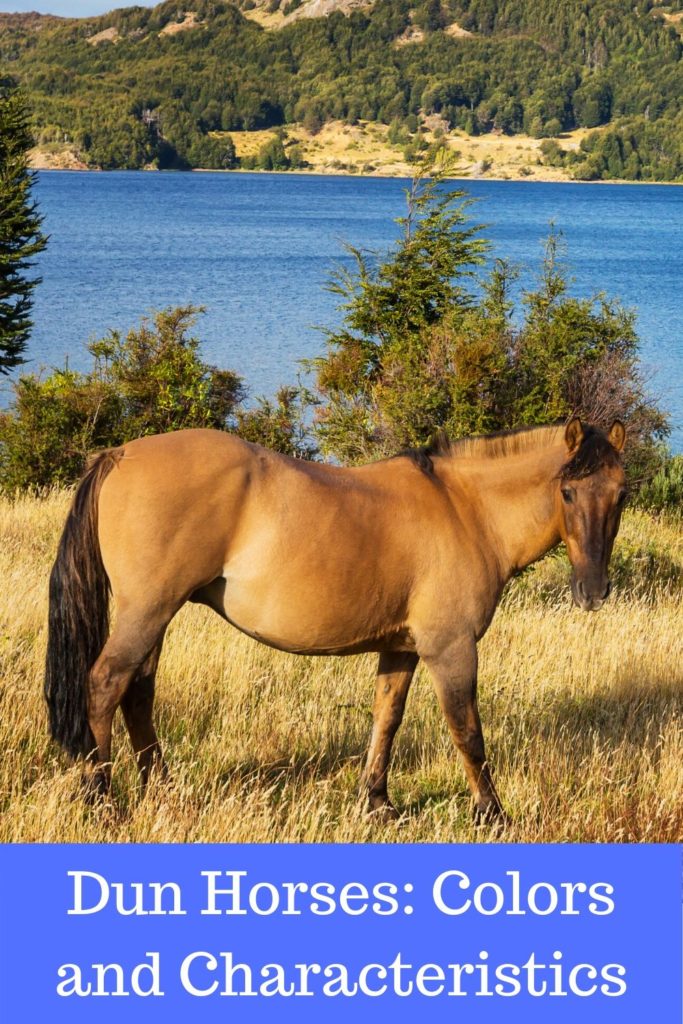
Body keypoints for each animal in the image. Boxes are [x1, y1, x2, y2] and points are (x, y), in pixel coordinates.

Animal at [44, 416, 627, 823]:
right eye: (567, 491)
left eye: (620, 495)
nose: (594, 591)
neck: (465, 510)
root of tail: (119, 454)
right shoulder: (450, 648)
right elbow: (468, 732)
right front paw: (493, 813)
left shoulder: (401, 648)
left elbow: (386, 719)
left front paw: (378, 803)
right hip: (146, 613)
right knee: (105, 686)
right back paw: (103, 805)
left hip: (155, 617)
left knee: (138, 695)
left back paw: (163, 794)